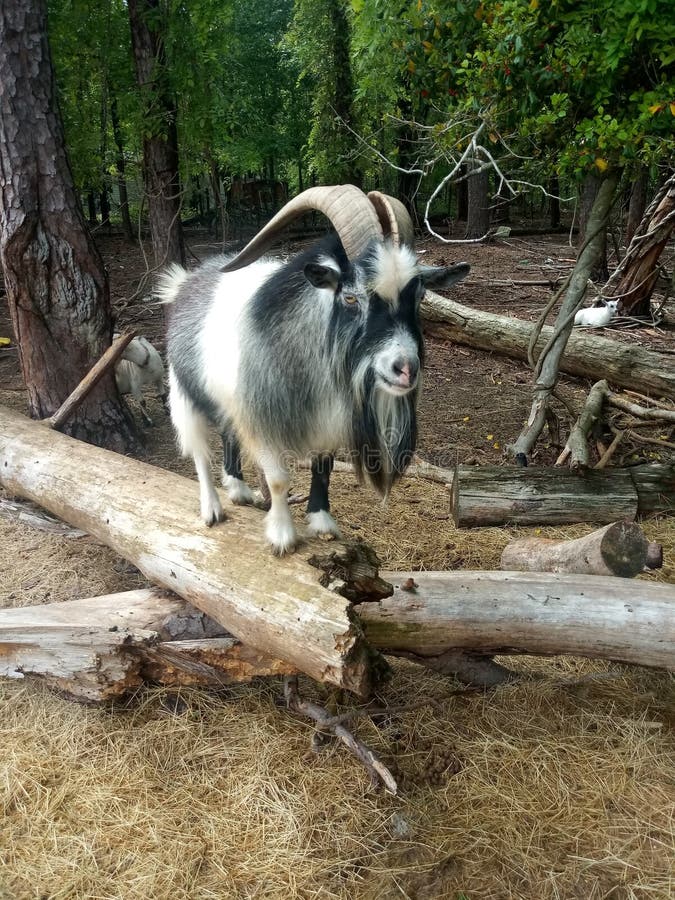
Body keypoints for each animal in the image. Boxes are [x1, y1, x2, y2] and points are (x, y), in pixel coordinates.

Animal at [160, 185, 470, 555]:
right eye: (350, 297)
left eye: (420, 296)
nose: (405, 369)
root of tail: (186, 282)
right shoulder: (265, 416)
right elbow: (279, 480)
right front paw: (282, 537)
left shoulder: (325, 417)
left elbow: (324, 468)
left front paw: (322, 523)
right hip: (183, 390)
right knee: (199, 452)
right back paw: (212, 509)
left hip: (228, 400)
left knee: (227, 432)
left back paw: (238, 489)